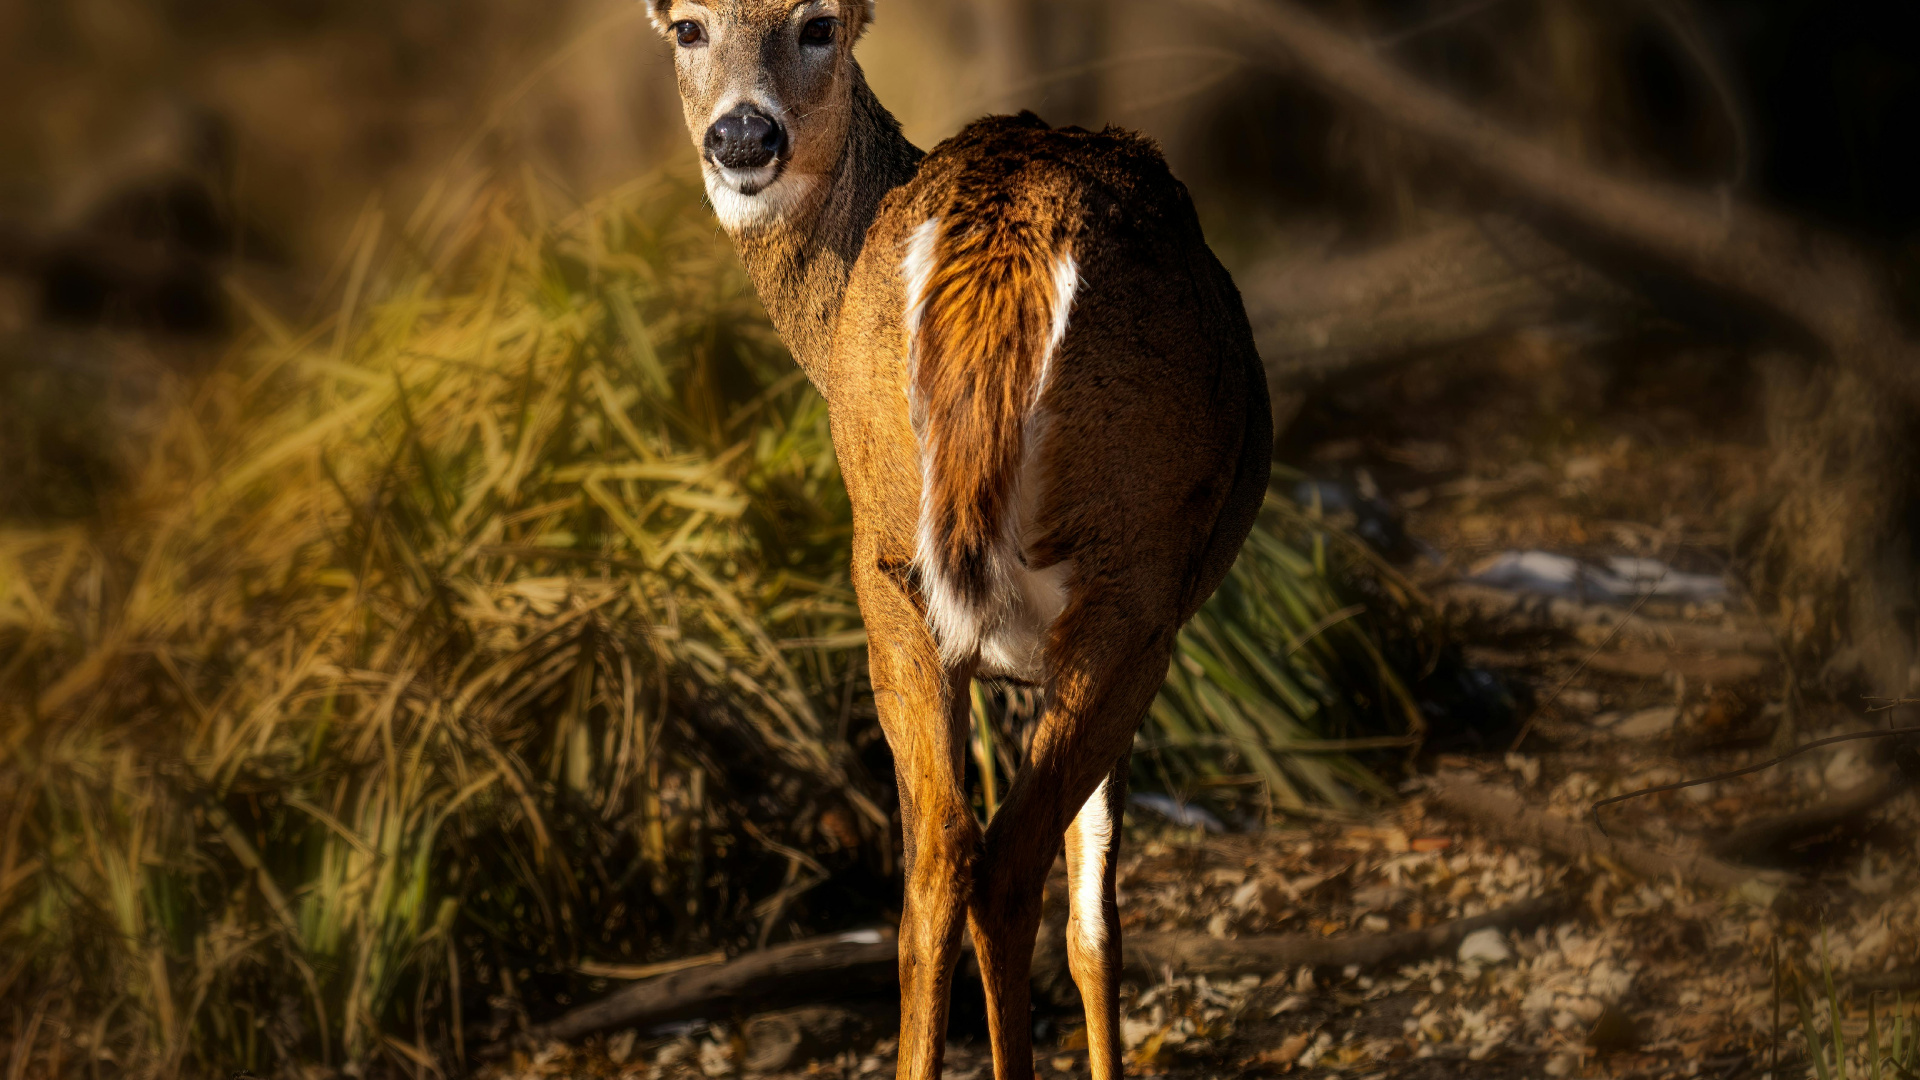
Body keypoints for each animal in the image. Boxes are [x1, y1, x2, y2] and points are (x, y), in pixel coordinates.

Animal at [645, 4, 1271, 1079]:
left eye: (818, 23)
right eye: (688, 26)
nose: (743, 136)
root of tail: (1006, 229)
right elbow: (1097, 919)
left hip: (891, 558)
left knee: (938, 861)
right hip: (1132, 579)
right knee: (1009, 865)